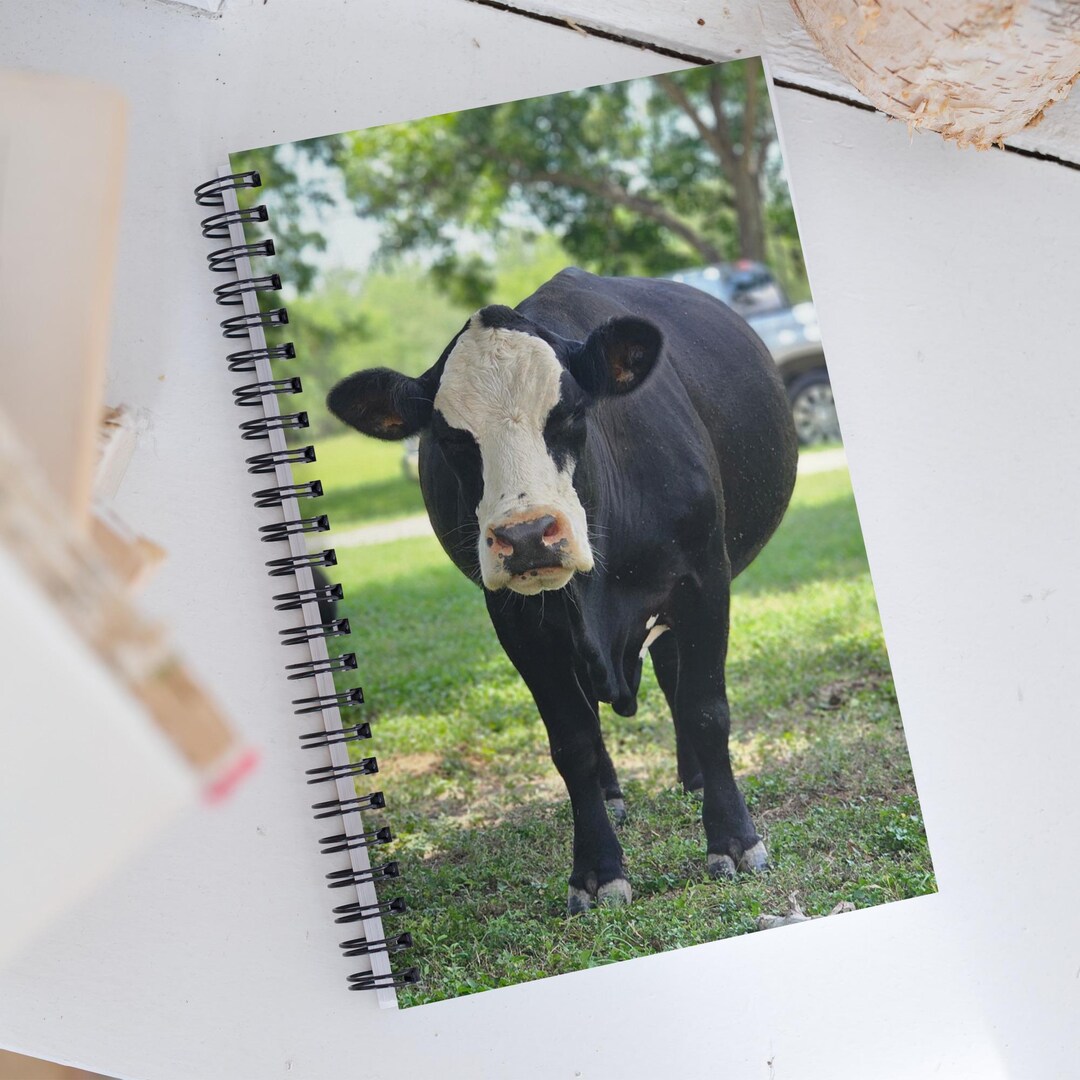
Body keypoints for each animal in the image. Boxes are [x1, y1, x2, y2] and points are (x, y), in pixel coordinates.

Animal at [328, 267, 798, 913]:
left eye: (571, 413)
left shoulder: (705, 580)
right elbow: (572, 741)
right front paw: (598, 870)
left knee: (674, 674)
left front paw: (733, 839)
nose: (527, 536)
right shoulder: (520, 623)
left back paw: (696, 777)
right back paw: (615, 794)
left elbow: (706, 708)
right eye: (451, 438)